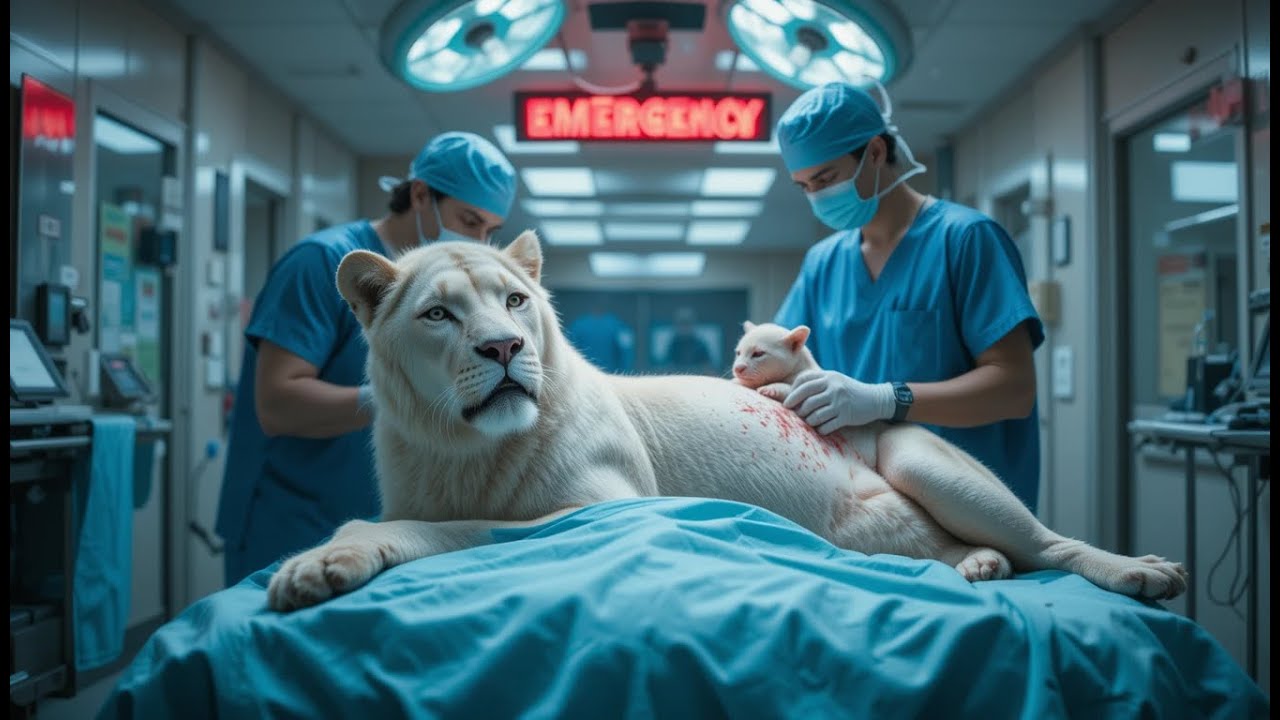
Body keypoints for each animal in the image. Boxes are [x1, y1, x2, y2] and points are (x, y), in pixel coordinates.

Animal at [266, 231, 1186, 612]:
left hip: (929, 463)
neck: (462, 446)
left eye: (515, 300)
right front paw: (322, 559)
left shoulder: (601, 509)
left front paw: (318, 564)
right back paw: (979, 567)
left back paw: (1144, 573)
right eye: (439, 315)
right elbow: (416, 519)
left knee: (1055, 546)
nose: (503, 347)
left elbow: (456, 530)